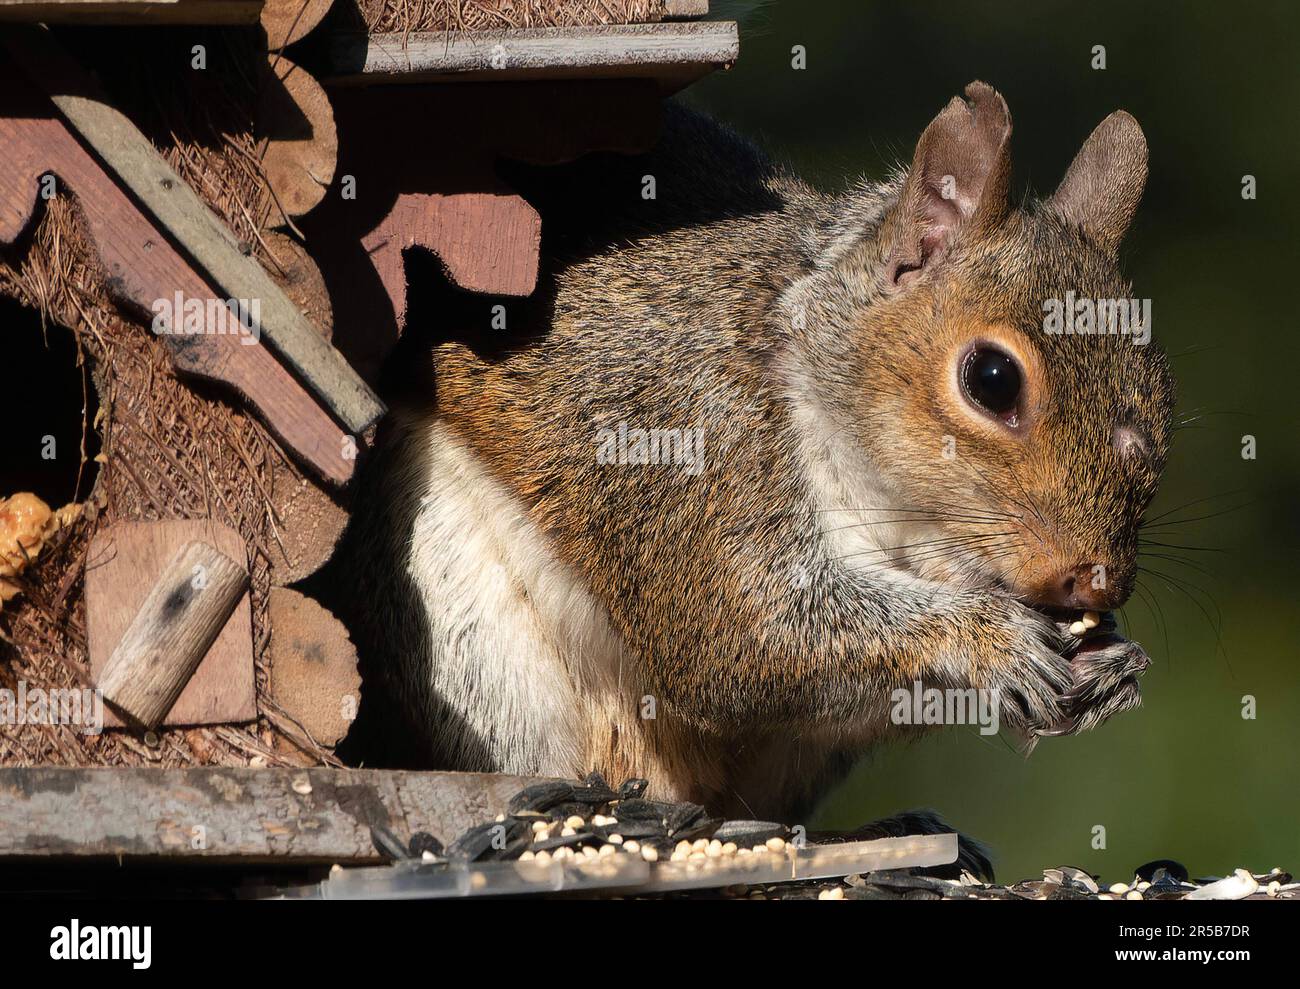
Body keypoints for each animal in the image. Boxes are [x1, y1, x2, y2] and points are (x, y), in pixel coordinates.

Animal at [326, 82, 1174, 831]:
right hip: (468, 630)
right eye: (992, 379)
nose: (1095, 578)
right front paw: (990, 635)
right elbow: (746, 631)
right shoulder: (686, 432)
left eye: (1160, 387)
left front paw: (1111, 666)